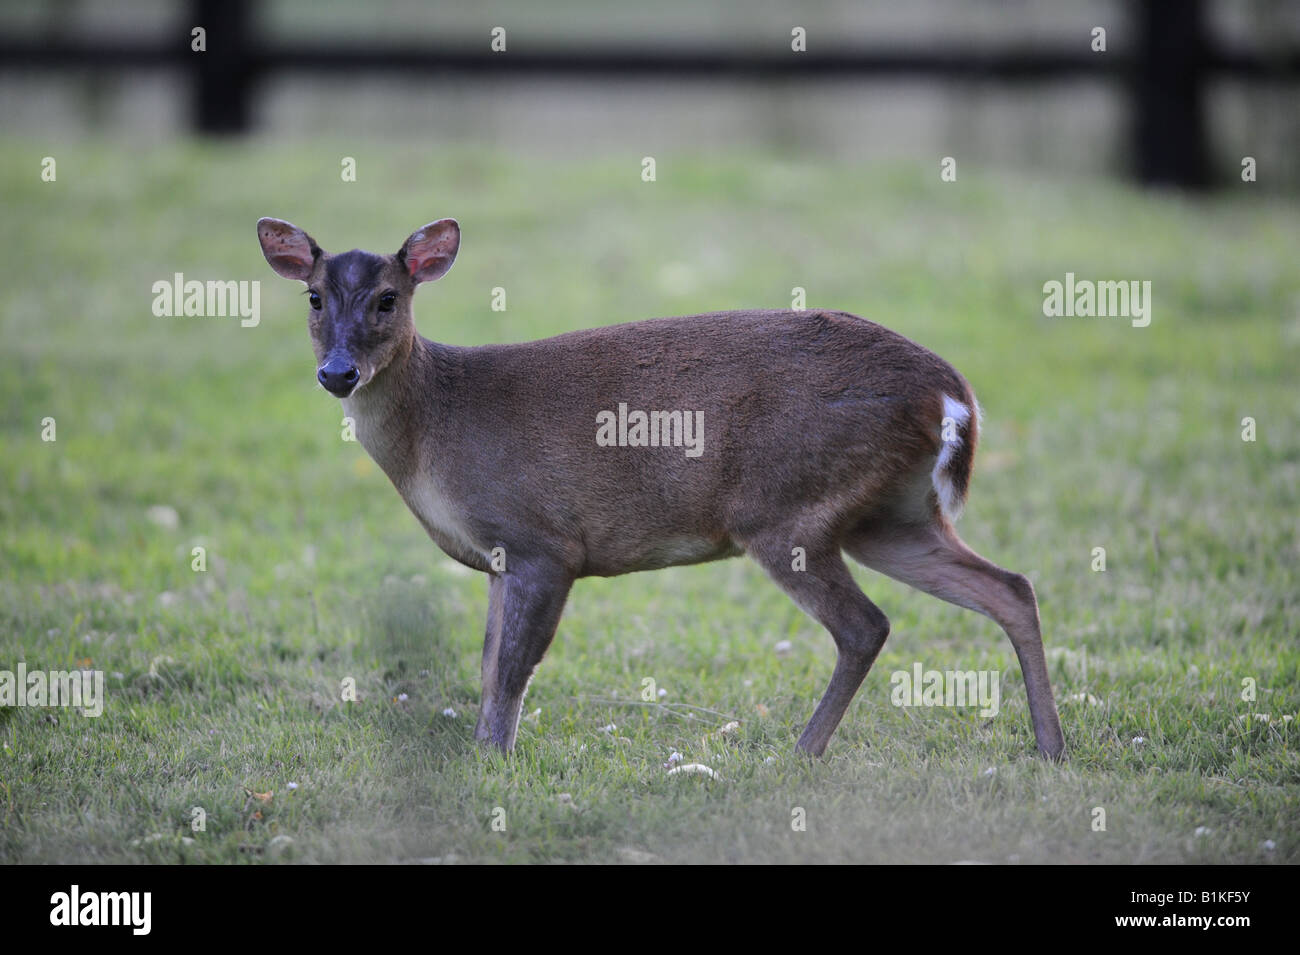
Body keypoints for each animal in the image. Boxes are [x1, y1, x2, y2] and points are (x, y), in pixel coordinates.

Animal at [256, 216, 1065, 761]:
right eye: (313, 298)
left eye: (388, 298)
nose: (337, 373)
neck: (436, 426)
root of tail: (953, 393)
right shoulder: (498, 559)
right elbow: (488, 664)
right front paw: (484, 753)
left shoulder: (544, 542)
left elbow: (513, 668)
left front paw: (493, 760)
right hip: (888, 516)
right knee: (1009, 586)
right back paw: (1050, 746)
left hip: (785, 509)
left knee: (866, 625)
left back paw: (801, 752)